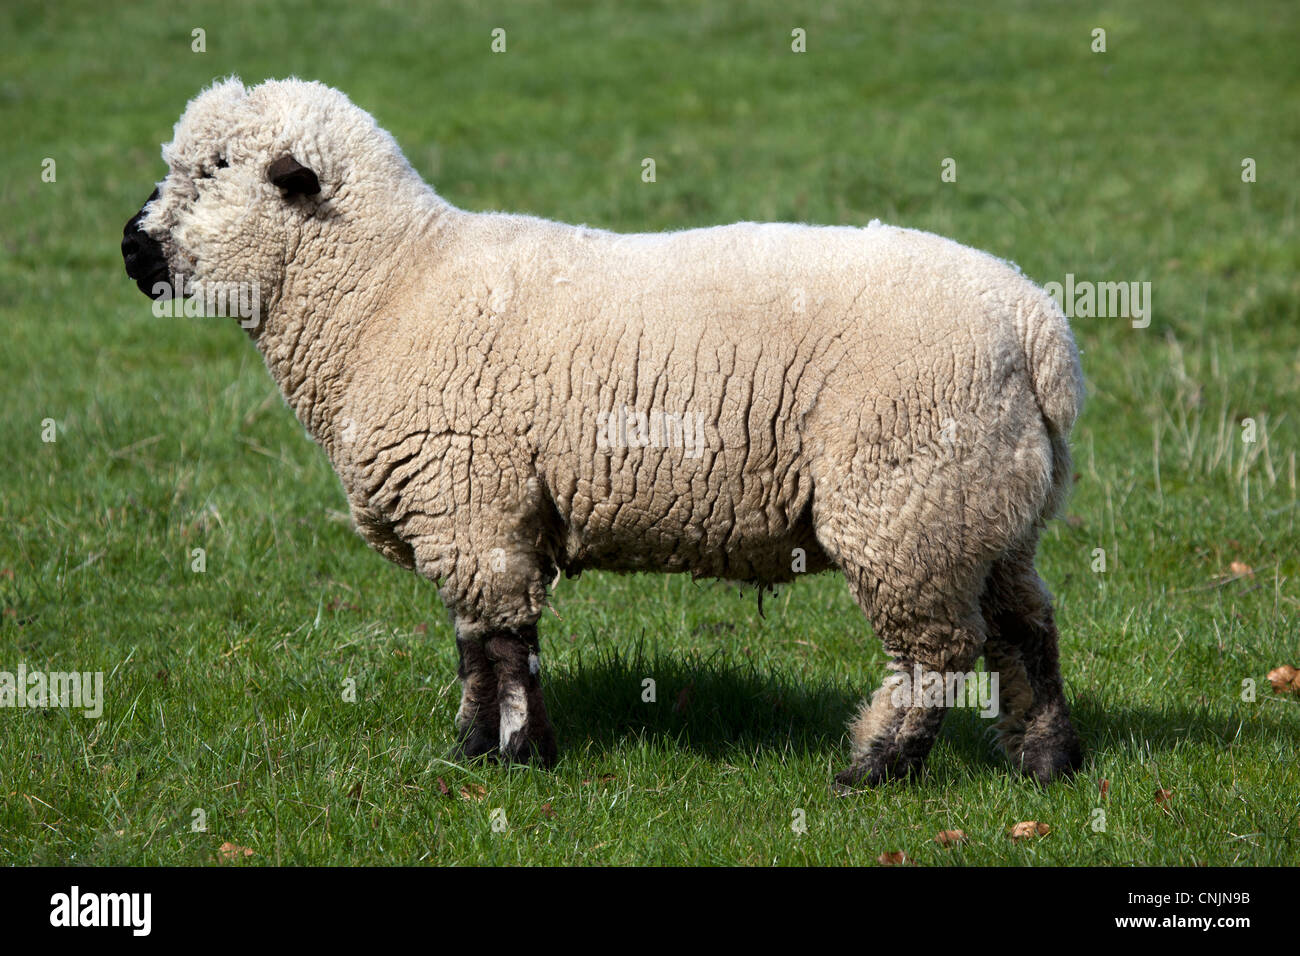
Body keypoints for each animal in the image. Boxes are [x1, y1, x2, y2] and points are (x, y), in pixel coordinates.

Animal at [122, 77, 1085, 787]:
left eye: (213, 170)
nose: (132, 248)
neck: (389, 288)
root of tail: (1035, 322)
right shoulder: (471, 515)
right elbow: (474, 644)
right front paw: (473, 751)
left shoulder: (472, 505)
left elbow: (501, 645)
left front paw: (513, 757)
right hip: (986, 510)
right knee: (1026, 628)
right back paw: (1047, 761)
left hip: (907, 505)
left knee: (937, 652)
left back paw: (876, 766)